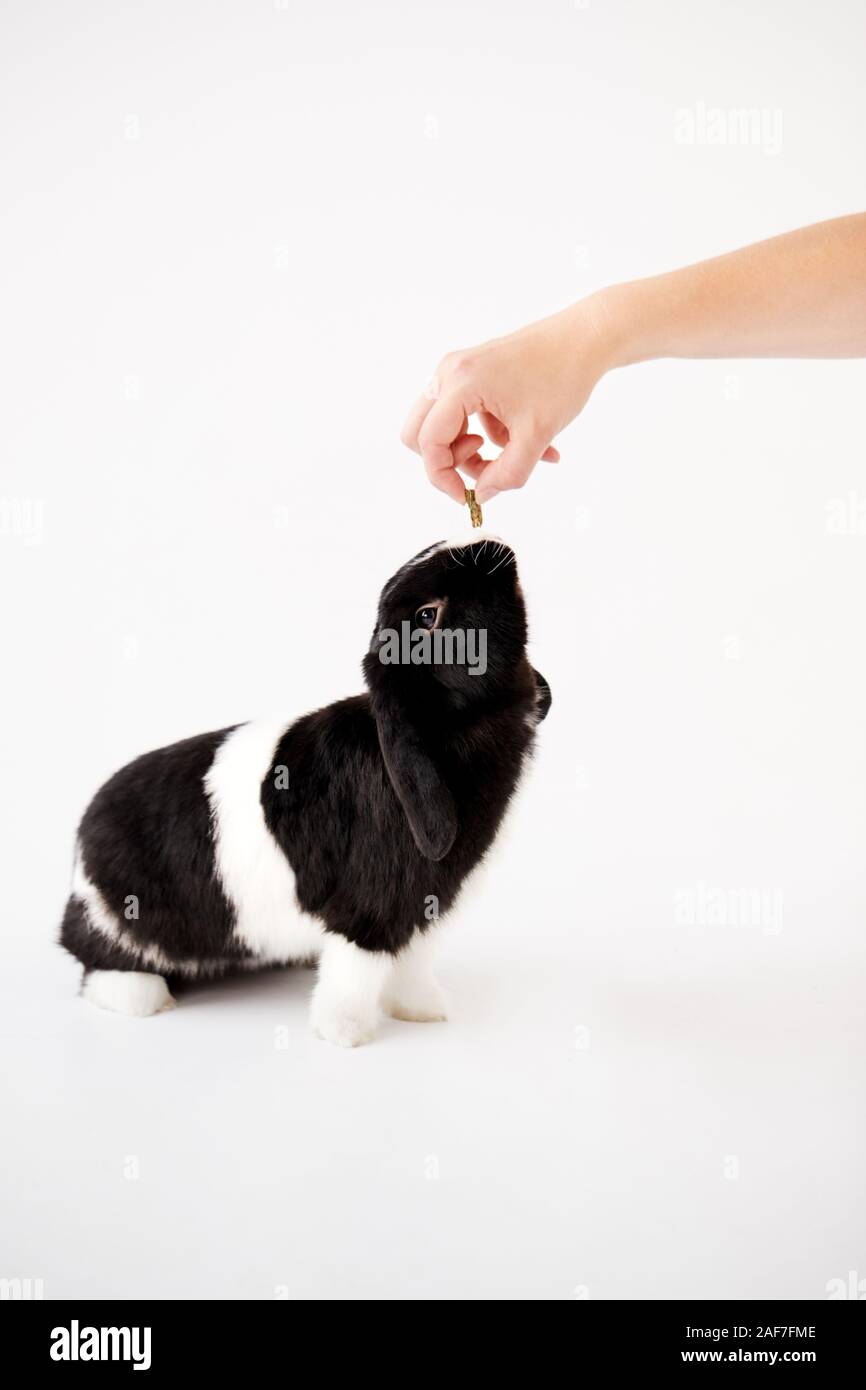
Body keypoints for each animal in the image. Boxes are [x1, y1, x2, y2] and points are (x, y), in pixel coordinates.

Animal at [59, 533, 551, 1046]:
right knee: (94, 964)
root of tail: (81, 850)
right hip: (121, 922)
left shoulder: (422, 904)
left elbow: (411, 963)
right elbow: (356, 968)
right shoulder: (371, 906)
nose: (489, 543)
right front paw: (343, 1034)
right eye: (426, 617)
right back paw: (144, 998)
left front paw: (424, 1012)